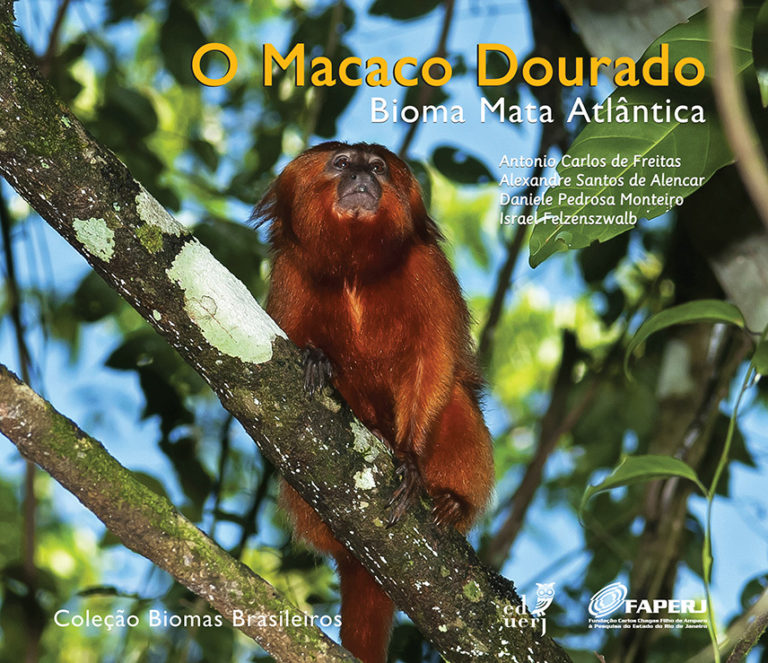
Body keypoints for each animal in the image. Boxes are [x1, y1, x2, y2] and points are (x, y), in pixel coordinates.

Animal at [253, 141, 494, 663]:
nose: (363, 178)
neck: (355, 268)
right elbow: (287, 349)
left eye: (378, 168)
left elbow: (435, 361)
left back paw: (453, 505)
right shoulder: (288, 273)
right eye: (343, 164)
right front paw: (317, 361)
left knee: (457, 402)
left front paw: (408, 457)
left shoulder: (428, 268)